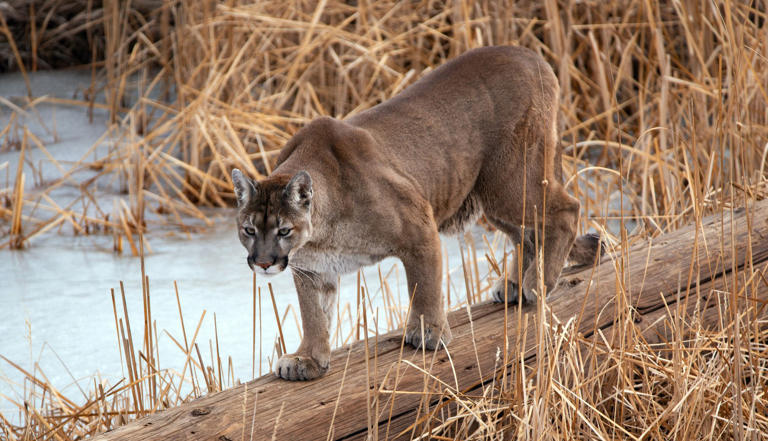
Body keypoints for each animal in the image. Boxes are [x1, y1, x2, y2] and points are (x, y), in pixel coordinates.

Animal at [232, 46, 602, 381]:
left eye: (283, 231)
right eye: (249, 230)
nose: (263, 263)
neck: (321, 235)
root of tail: (530, 53)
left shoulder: (419, 227)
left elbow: (424, 286)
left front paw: (428, 332)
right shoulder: (312, 269)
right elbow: (313, 315)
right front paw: (306, 359)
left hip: (510, 181)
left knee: (567, 210)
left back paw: (537, 284)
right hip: (493, 198)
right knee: (528, 232)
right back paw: (513, 283)